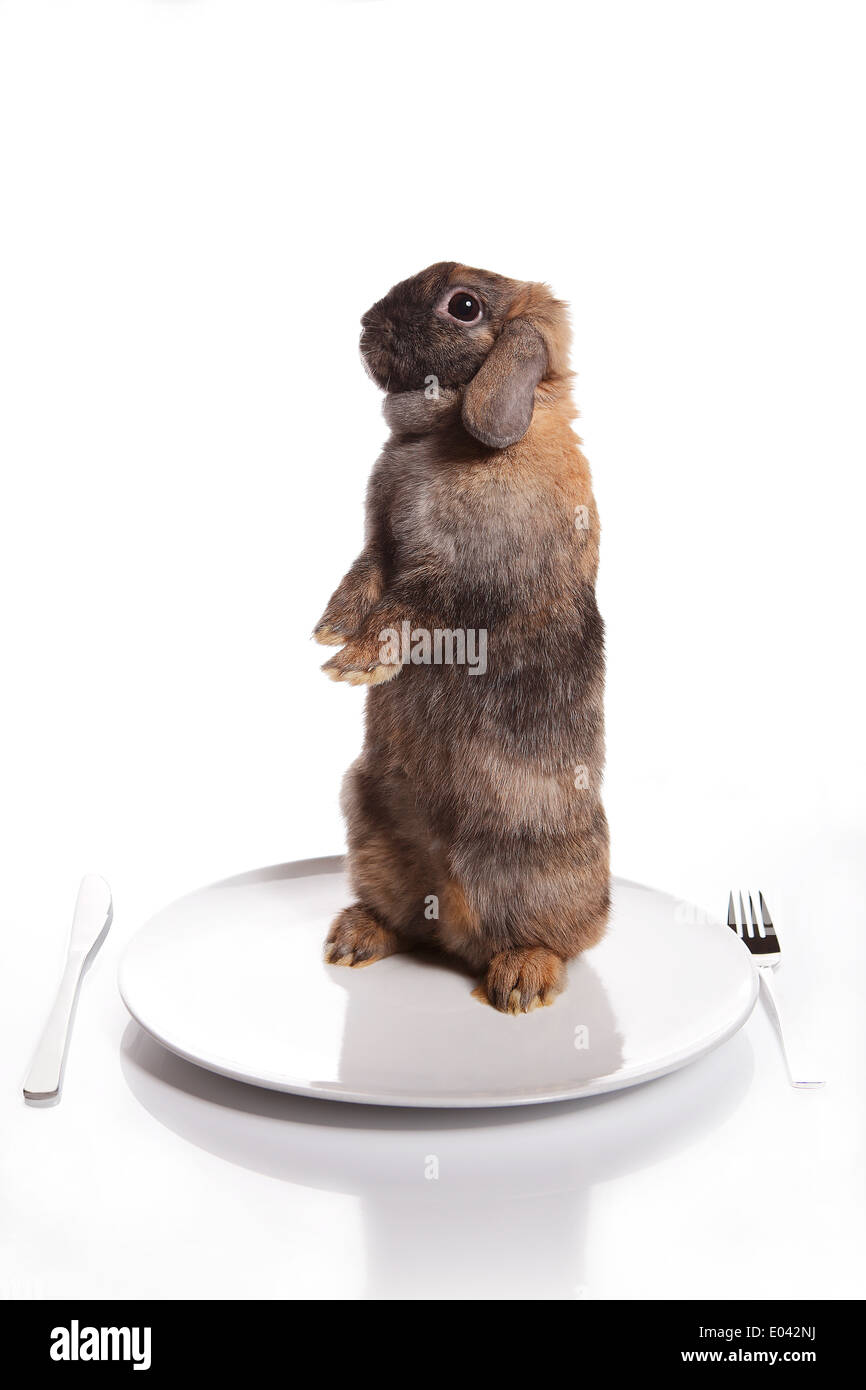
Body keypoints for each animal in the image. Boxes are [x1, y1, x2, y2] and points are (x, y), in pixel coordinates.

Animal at [313, 262, 610, 1013]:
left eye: (465, 306)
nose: (366, 324)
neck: (438, 431)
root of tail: (447, 913)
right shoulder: (380, 549)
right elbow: (363, 579)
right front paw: (327, 633)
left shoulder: (459, 583)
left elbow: (404, 610)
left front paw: (353, 665)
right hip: (368, 825)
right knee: (400, 919)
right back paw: (353, 939)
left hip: (526, 866)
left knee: (561, 940)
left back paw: (520, 981)